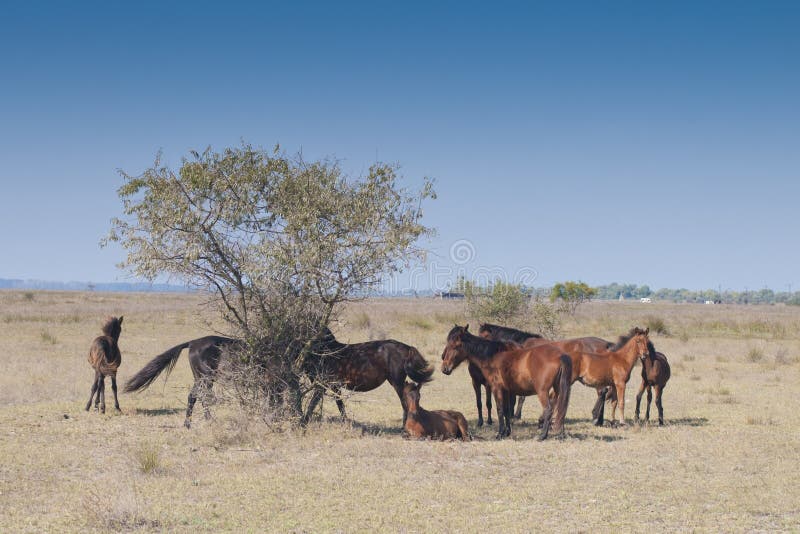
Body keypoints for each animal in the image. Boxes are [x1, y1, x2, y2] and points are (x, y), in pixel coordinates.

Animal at [440, 325, 572, 440]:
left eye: (455, 346)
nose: (444, 368)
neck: (493, 356)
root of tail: (560, 356)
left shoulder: (496, 388)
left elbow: (500, 410)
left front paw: (499, 434)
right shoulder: (507, 390)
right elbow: (507, 410)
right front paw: (507, 432)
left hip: (542, 392)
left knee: (548, 409)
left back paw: (542, 436)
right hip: (558, 390)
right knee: (561, 409)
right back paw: (560, 434)